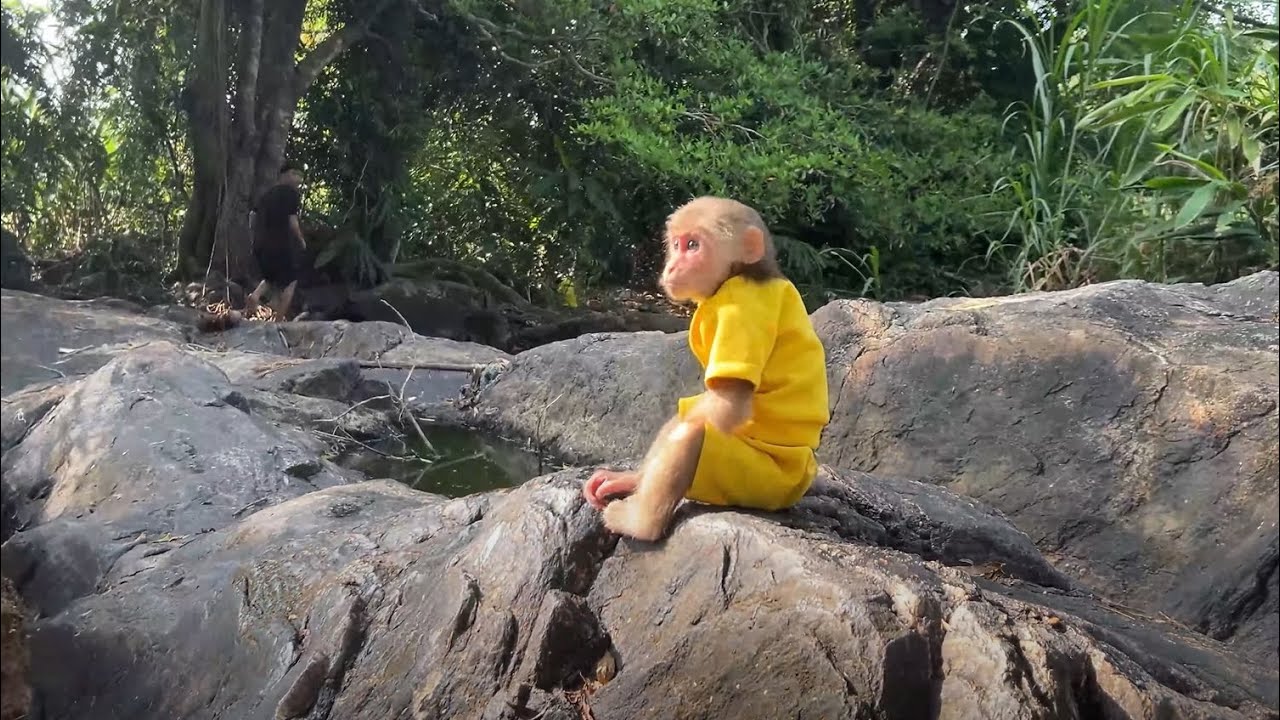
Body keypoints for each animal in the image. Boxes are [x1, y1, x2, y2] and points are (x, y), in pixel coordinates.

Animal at [581, 197, 830, 541]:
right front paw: (630, 478)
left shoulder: (738, 311)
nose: (672, 266)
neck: (738, 274)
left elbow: (726, 407)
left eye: (693, 245)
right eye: (676, 244)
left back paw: (641, 522)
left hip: (755, 479)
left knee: (692, 431)